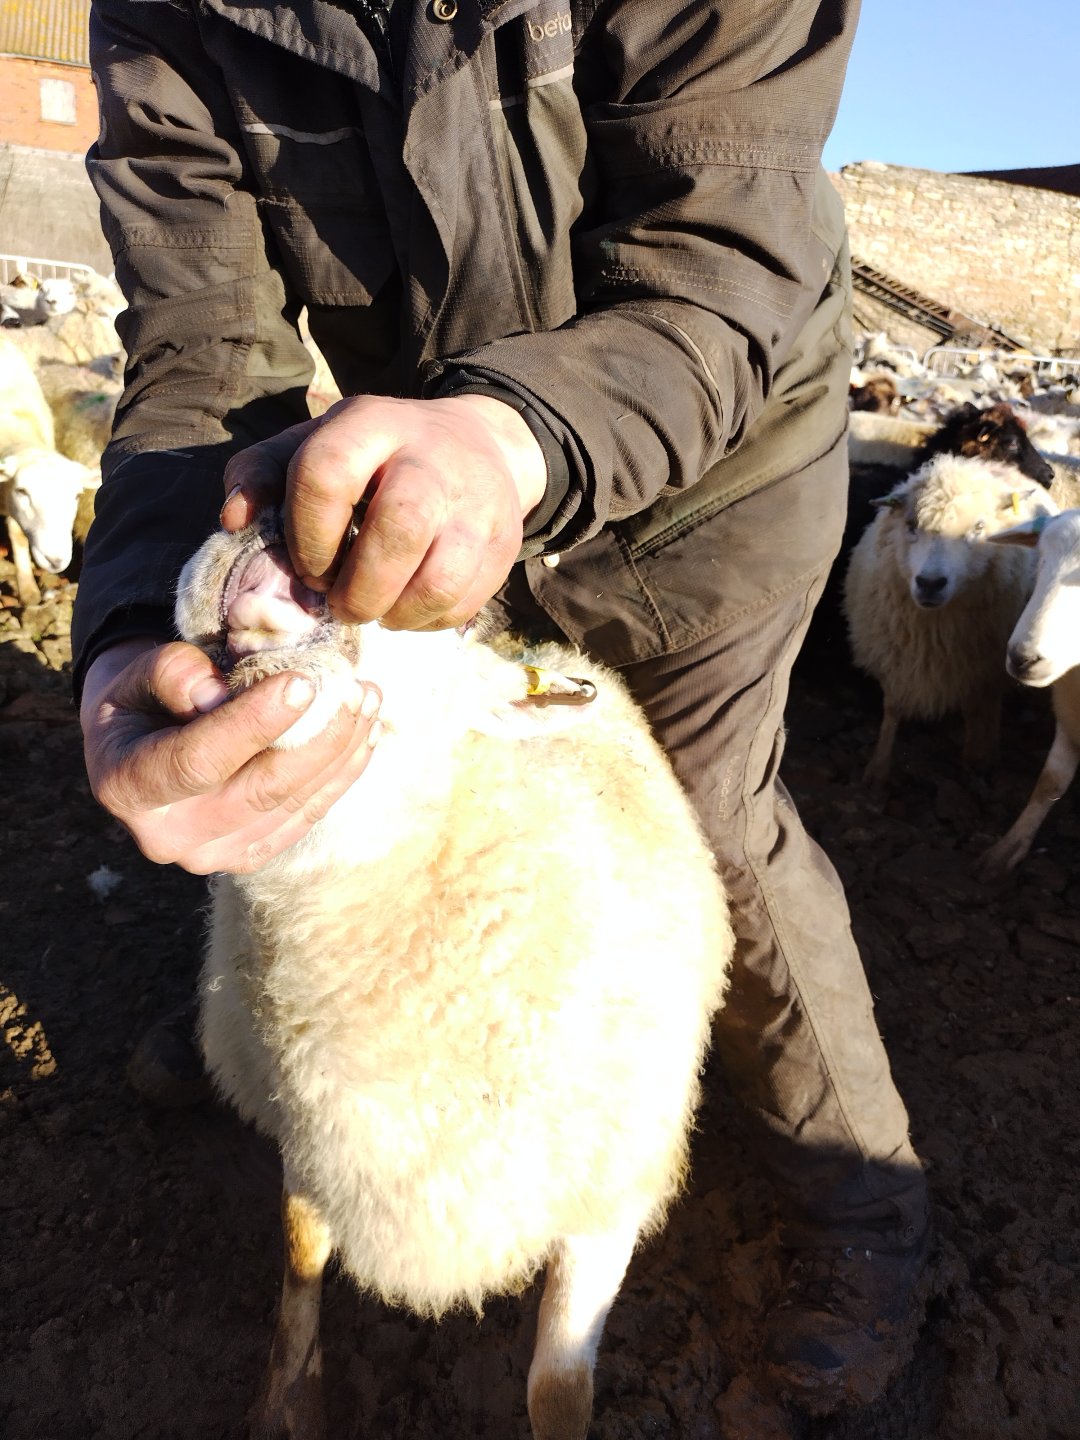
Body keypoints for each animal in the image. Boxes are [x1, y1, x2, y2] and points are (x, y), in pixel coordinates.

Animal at [175, 512, 732, 1440]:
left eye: (429, 624)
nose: (275, 521)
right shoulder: (313, 1132)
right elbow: (300, 1249)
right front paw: (288, 1401)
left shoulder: (608, 1199)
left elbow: (556, 1391)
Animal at [842, 454, 1059, 785]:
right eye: (911, 525)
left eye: (980, 527)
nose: (930, 583)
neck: (933, 628)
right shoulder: (894, 657)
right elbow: (892, 709)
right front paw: (877, 769)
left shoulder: (976, 668)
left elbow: (973, 709)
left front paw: (972, 761)